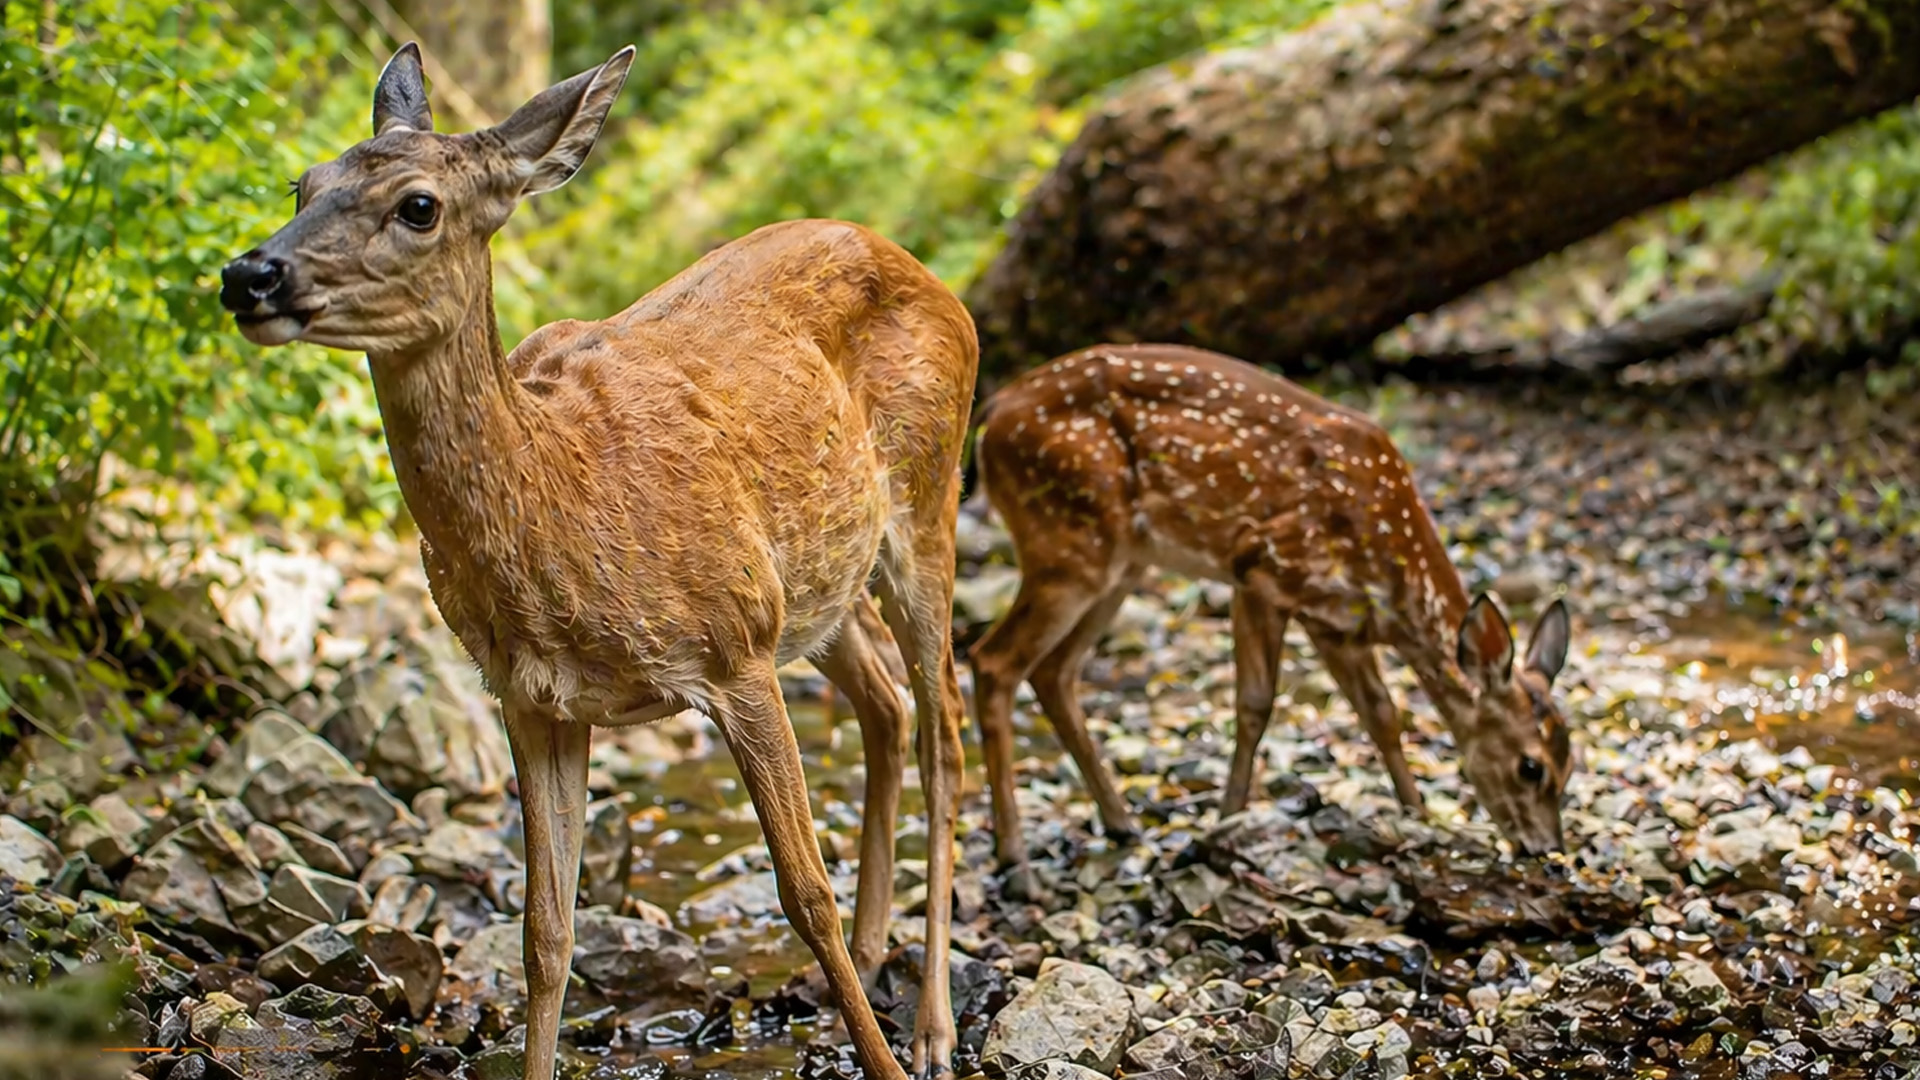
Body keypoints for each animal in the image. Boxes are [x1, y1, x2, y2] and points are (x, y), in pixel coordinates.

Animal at [217, 44, 977, 1080]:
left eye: (419, 206)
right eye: (303, 183)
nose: (247, 274)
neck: (561, 506)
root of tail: (935, 279)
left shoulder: (735, 645)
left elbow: (801, 891)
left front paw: (886, 1059)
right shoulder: (530, 695)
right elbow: (546, 933)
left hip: (925, 502)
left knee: (943, 732)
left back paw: (933, 1026)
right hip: (818, 579)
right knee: (886, 706)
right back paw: (870, 957)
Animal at [967, 344, 1574, 890]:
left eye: (1570, 765)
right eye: (1532, 766)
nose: (1546, 850)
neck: (1392, 572)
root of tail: (992, 414)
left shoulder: (1337, 622)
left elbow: (1381, 715)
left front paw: (1417, 816)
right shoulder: (1263, 568)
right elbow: (1256, 705)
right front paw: (1224, 824)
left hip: (1120, 563)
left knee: (1054, 671)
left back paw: (1120, 826)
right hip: (1069, 543)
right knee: (993, 661)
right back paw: (1016, 862)